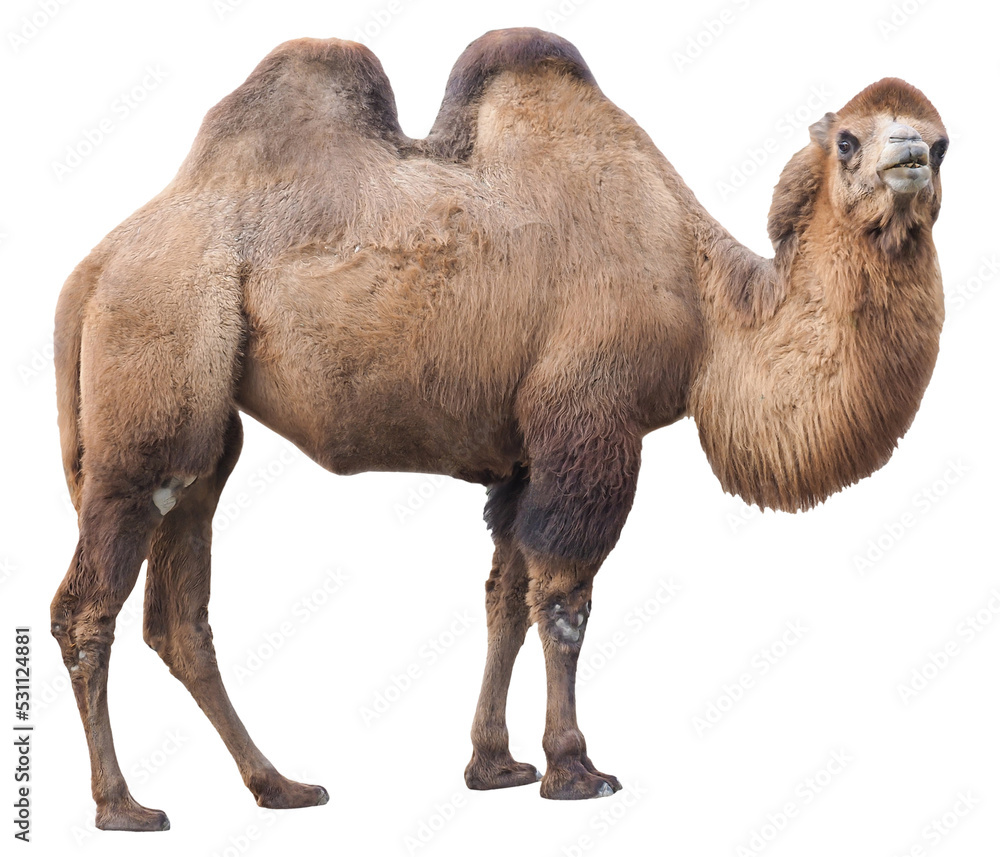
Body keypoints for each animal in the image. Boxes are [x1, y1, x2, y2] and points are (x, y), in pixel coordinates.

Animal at [51, 28, 948, 830]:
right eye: (848, 140)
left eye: (941, 144)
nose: (908, 158)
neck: (705, 301)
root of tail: (89, 274)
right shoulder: (590, 420)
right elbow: (565, 597)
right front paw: (574, 767)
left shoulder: (523, 456)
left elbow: (505, 598)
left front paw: (495, 763)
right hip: (152, 374)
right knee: (86, 604)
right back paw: (123, 805)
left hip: (202, 436)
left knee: (179, 614)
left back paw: (280, 785)